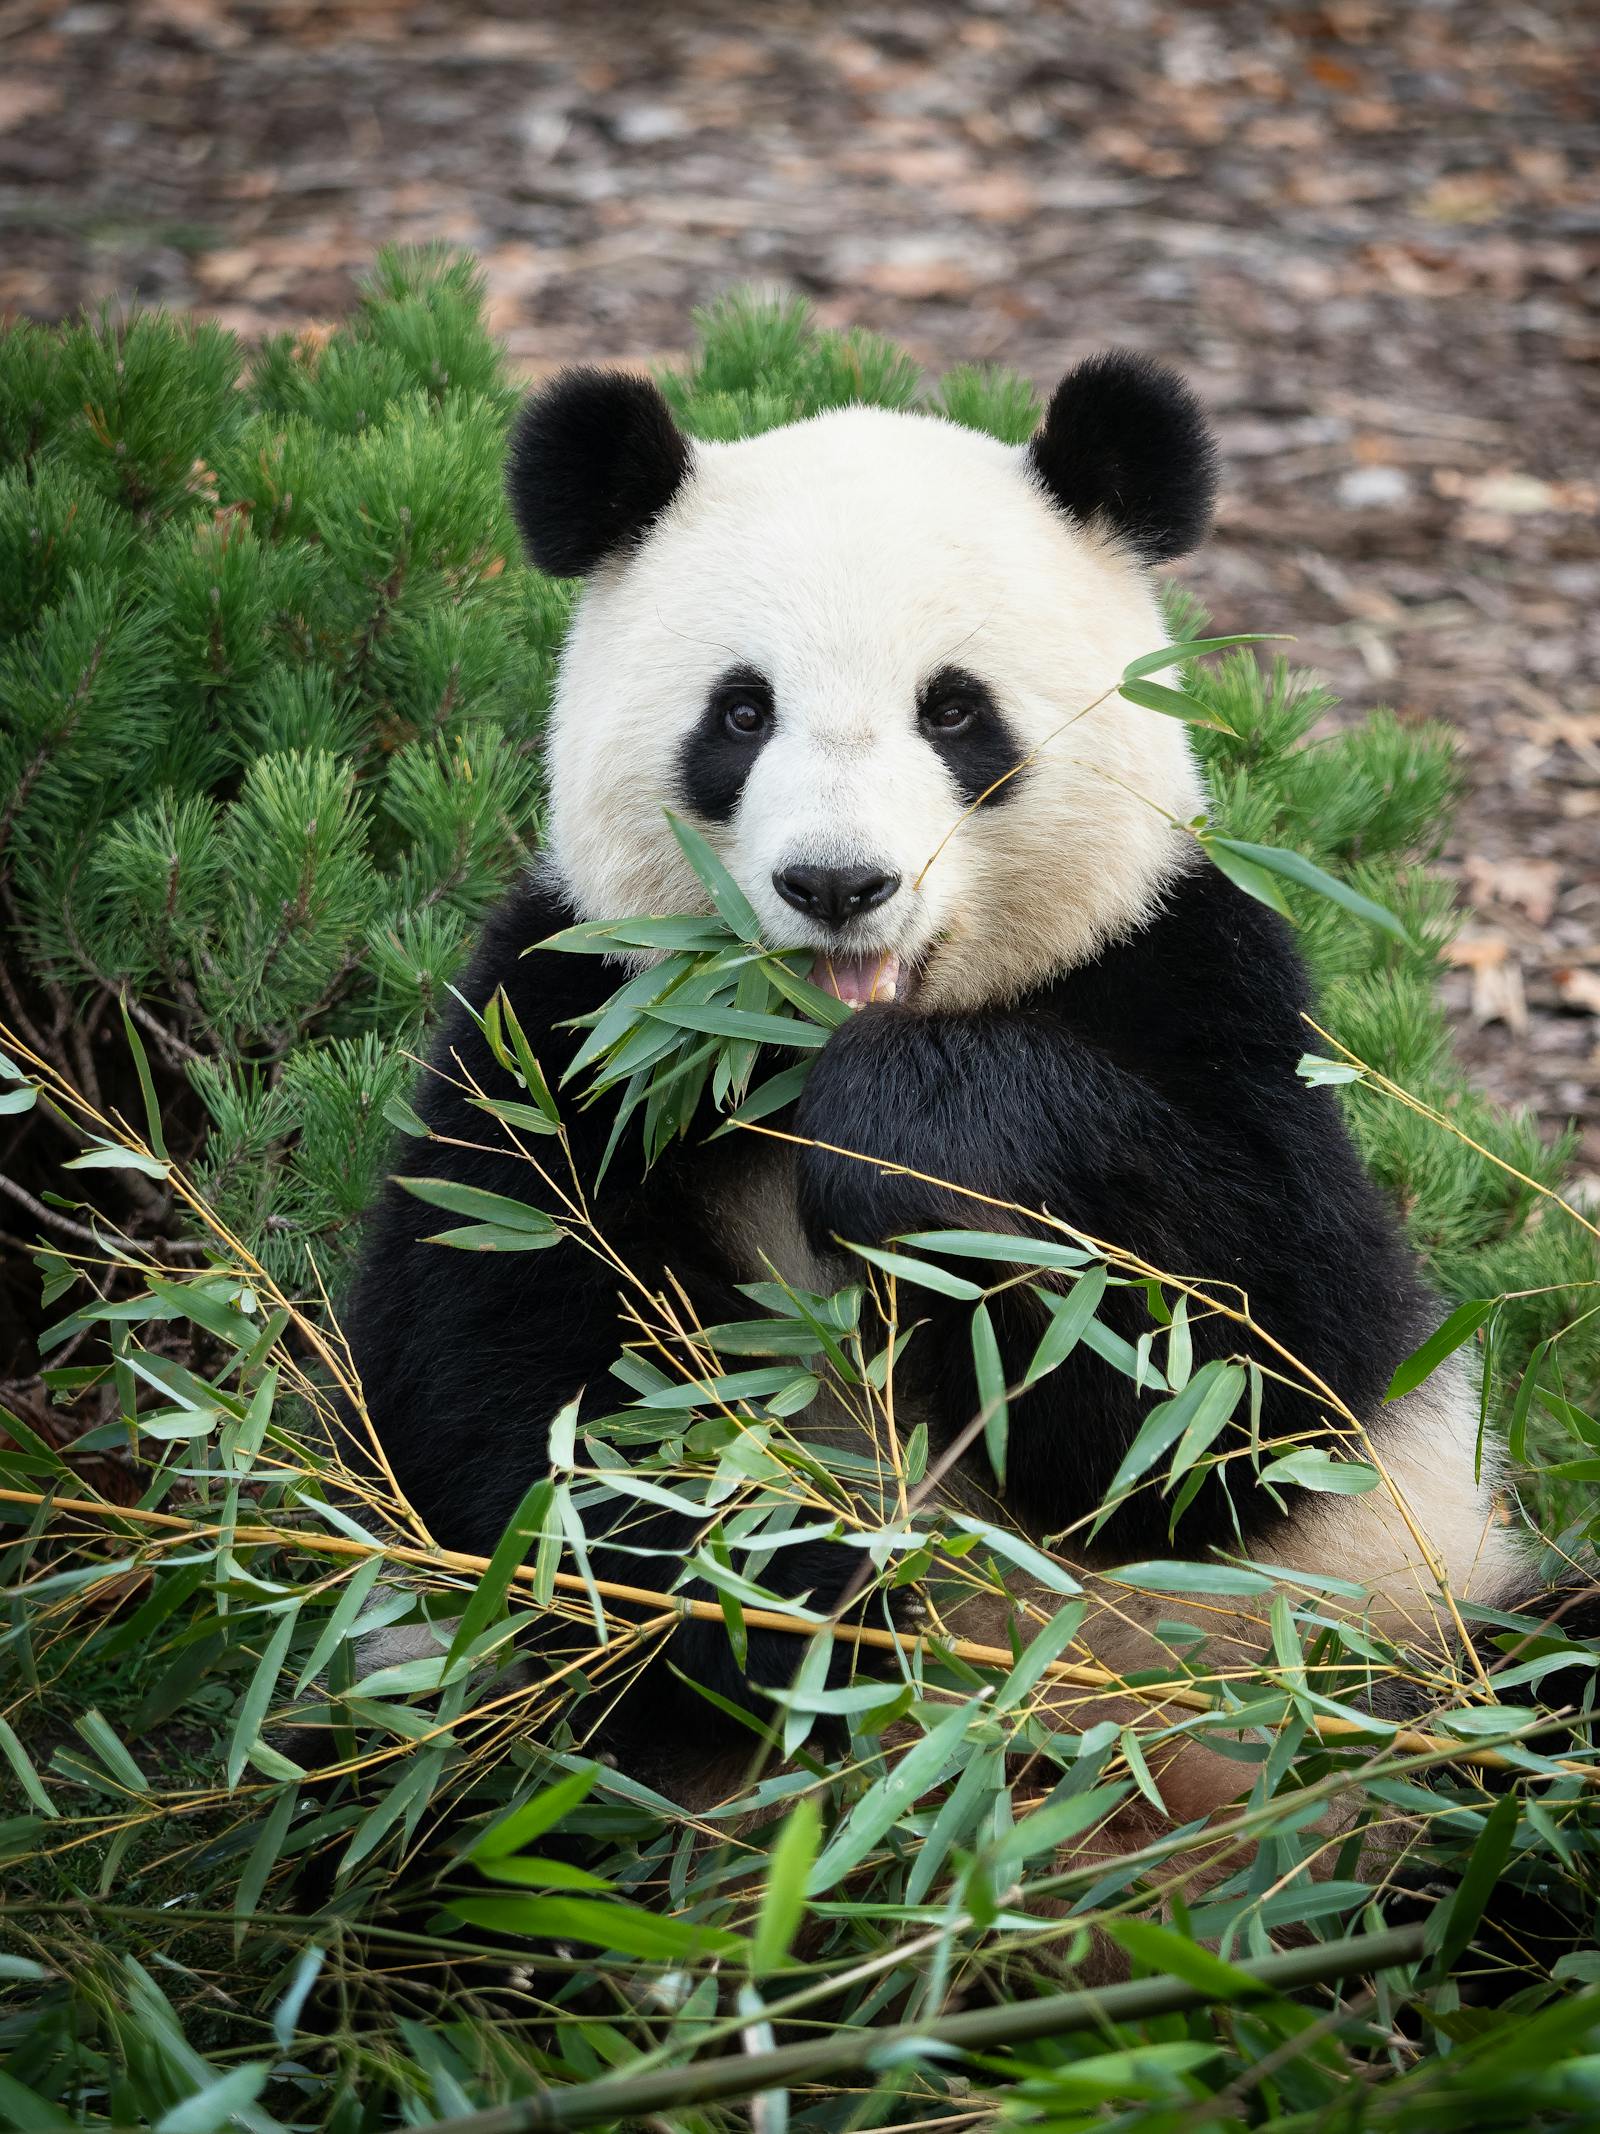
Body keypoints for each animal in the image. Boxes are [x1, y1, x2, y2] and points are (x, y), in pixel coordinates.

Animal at [346, 353, 1534, 1797]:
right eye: (742, 712)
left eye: (954, 709)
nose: (836, 883)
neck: (791, 1051)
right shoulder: (571, 1026)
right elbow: (503, 1373)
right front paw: (780, 1607)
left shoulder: (1193, 976)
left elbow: (1243, 1369)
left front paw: (897, 1141)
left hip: (1410, 1630)